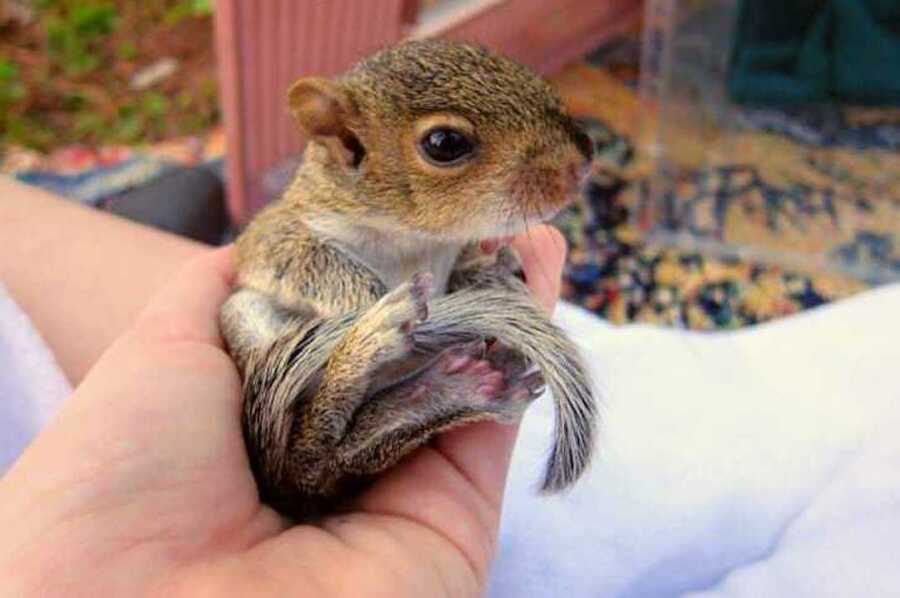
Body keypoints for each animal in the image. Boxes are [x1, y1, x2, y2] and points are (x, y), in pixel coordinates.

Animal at [220, 40, 597, 520]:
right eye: (444, 143)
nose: (584, 159)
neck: (411, 238)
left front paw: (490, 264)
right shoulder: (274, 232)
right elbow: (300, 258)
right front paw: (370, 298)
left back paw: (452, 391)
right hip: (245, 320)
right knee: (315, 453)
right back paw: (378, 343)